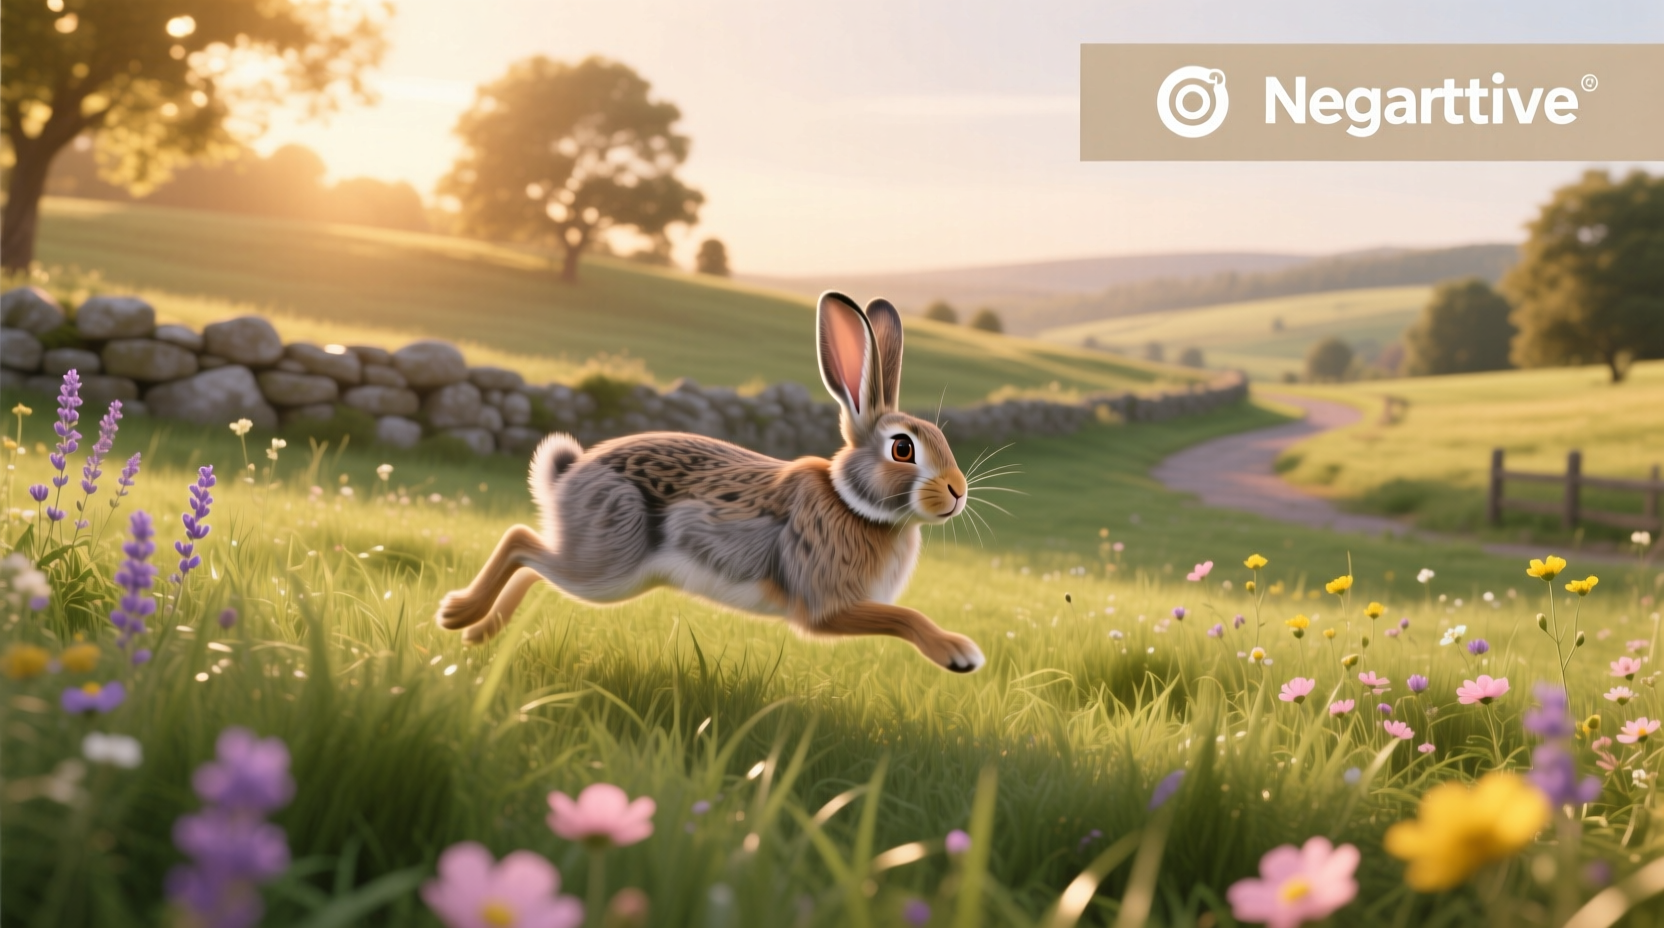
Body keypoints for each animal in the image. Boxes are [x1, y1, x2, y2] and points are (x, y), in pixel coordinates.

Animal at [435, 291, 985, 672]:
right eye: (902, 449)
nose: (957, 492)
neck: (851, 503)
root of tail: (568, 476)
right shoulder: (825, 607)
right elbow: (904, 617)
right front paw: (959, 654)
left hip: (608, 576)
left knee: (536, 561)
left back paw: (478, 633)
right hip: (605, 564)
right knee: (521, 541)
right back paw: (457, 613)